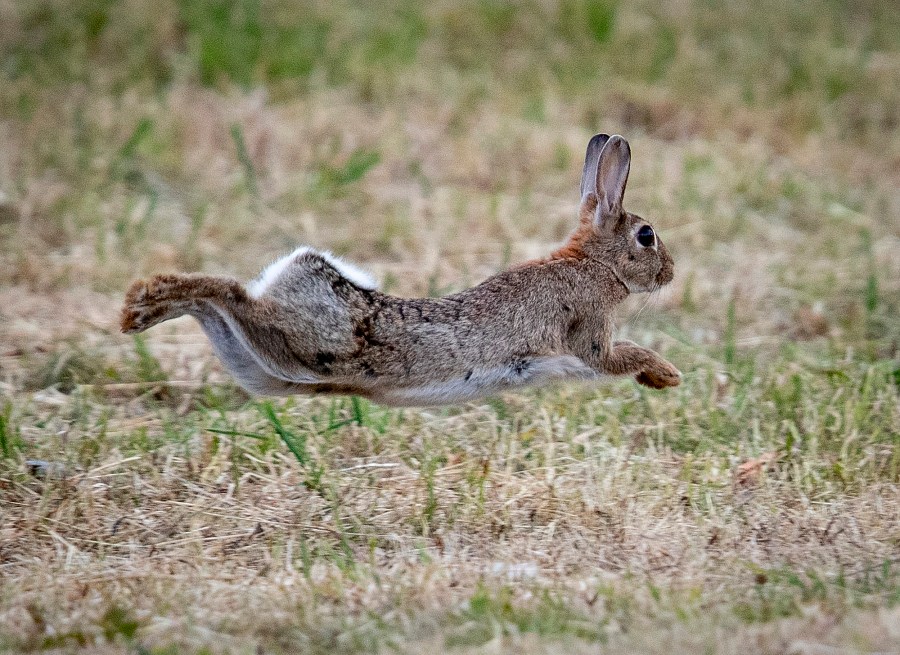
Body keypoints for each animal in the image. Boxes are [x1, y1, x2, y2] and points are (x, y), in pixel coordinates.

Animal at [120, 134, 681, 406]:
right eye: (646, 235)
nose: (671, 272)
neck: (591, 263)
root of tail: (299, 270)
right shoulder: (589, 334)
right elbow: (619, 354)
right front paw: (667, 373)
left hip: (266, 366)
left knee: (216, 306)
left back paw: (143, 307)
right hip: (302, 340)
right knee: (231, 292)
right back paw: (142, 300)